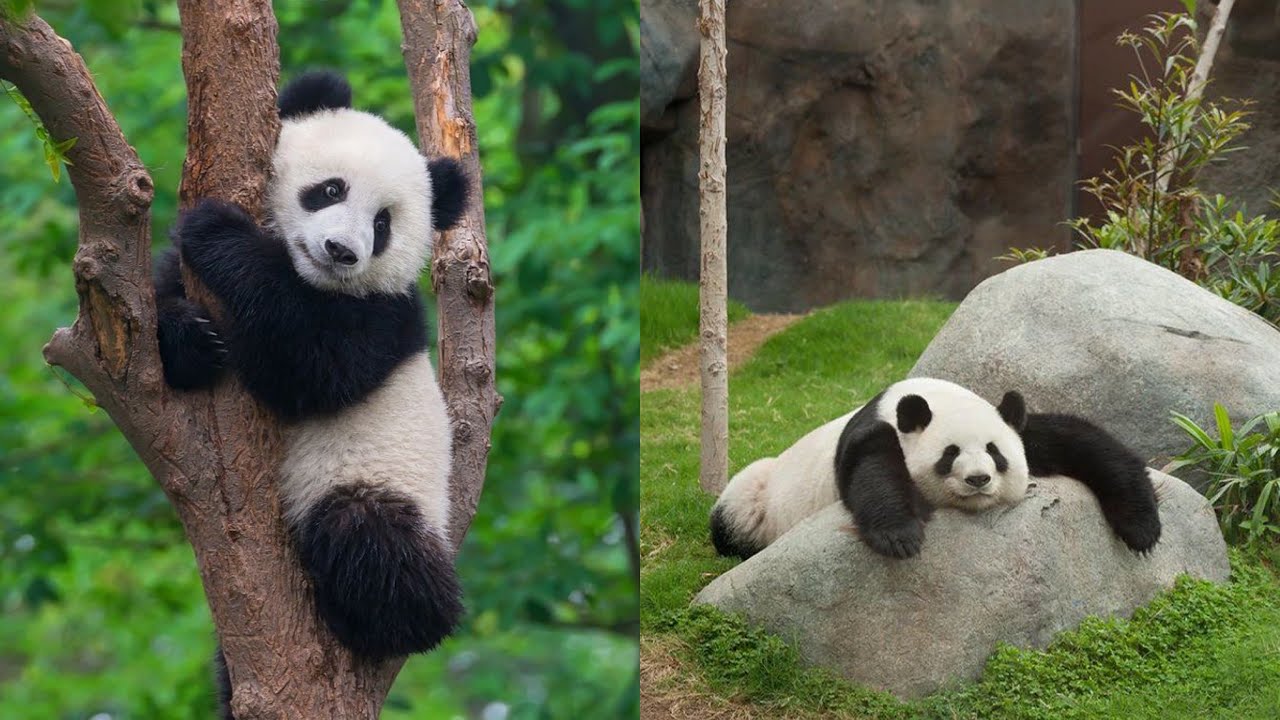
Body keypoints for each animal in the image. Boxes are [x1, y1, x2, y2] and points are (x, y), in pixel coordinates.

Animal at [154, 69, 467, 675]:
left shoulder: (385, 317)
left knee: (371, 540)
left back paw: (384, 621)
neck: (312, 278)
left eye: (382, 224)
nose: (342, 251)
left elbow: (311, 366)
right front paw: (190, 339)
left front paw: (217, 232)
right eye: (330, 190)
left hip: (381, 481)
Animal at [710, 377, 1162, 560]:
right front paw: (901, 536)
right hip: (759, 495)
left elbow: (1085, 442)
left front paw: (1142, 528)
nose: (978, 479)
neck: (930, 396)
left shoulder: (1016, 426)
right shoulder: (875, 432)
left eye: (995, 453)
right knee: (734, 514)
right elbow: (872, 471)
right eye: (950, 454)